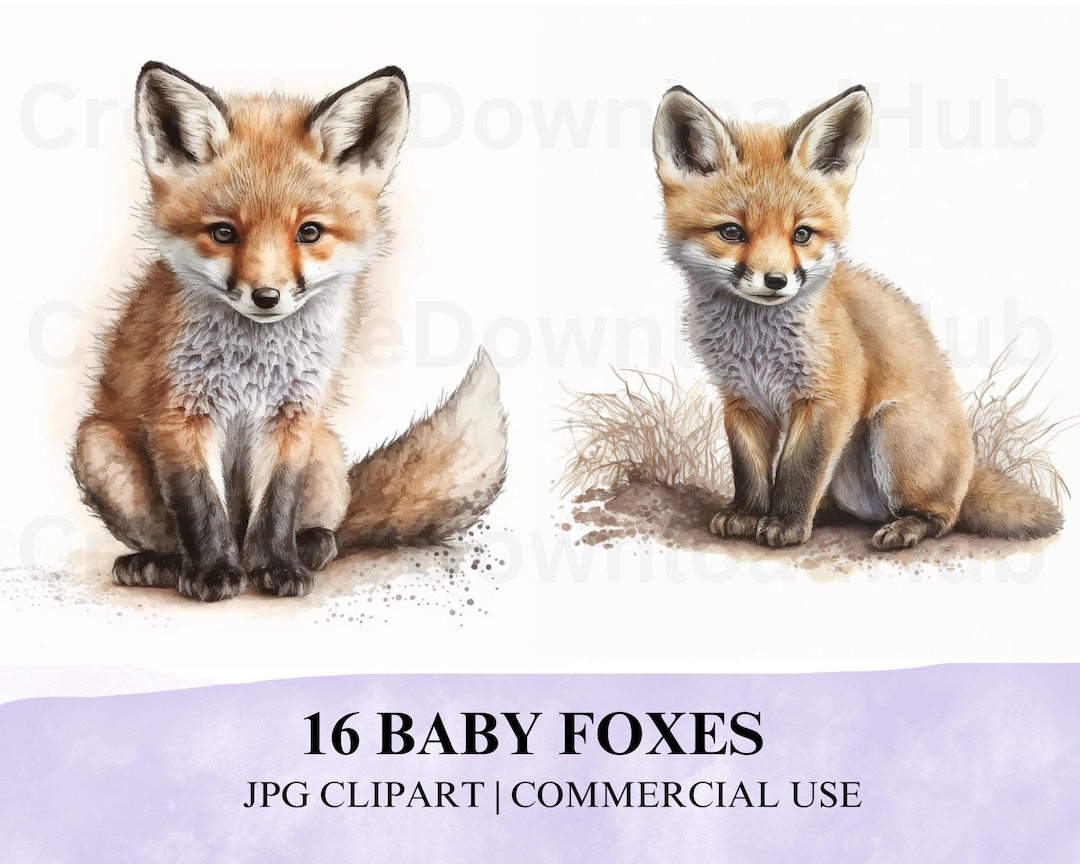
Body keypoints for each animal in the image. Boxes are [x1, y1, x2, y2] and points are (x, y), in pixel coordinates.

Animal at [71, 62, 508, 601]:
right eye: (223, 233)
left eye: (309, 232)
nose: (266, 296)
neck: (252, 365)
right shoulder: (179, 413)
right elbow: (199, 506)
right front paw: (213, 571)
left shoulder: (294, 415)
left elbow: (278, 504)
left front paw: (277, 566)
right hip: (97, 444)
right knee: (171, 534)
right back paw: (163, 562)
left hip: (327, 451)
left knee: (324, 528)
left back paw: (309, 546)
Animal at [652, 84, 1063, 550]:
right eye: (731, 232)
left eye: (802, 234)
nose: (776, 280)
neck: (756, 344)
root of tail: (969, 472)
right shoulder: (741, 398)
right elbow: (750, 470)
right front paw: (748, 514)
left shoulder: (831, 397)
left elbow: (800, 470)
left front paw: (785, 523)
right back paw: (828, 515)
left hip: (892, 429)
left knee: (943, 517)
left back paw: (905, 527)